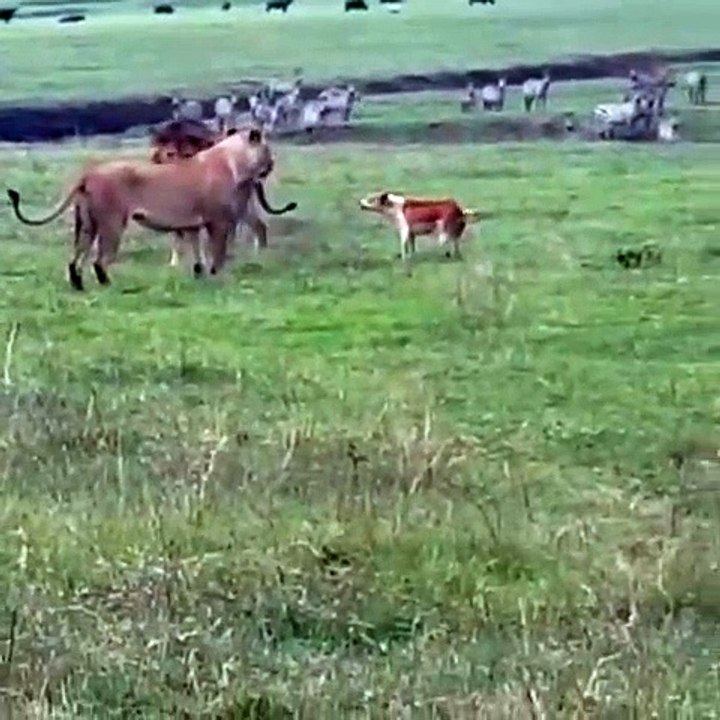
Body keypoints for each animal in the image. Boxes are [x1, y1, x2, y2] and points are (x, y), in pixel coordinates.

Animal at [7, 127, 298, 291]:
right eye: (268, 150)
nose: (271, 165)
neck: (233, 161)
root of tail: (89, 173)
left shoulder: (191, 223)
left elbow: (196, 251)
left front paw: (199, 274)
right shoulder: (218, 222)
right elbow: (218, 252)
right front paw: (218, 276)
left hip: (87, 223)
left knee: (75, 257)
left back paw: (78, 286)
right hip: (112, 222)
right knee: (99, 260)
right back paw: (107, 285)